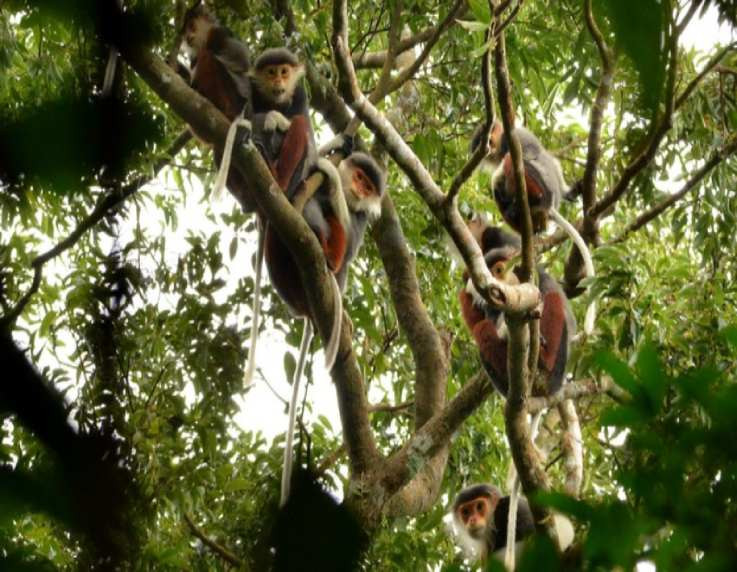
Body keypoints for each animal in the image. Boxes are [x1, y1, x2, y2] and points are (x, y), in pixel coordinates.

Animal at [470, 121, 596, 335]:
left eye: (488, 140)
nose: (487, 149)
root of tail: (550, 207)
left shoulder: (513, 139)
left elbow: (530, 155)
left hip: (540, 187)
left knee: (507, 168)